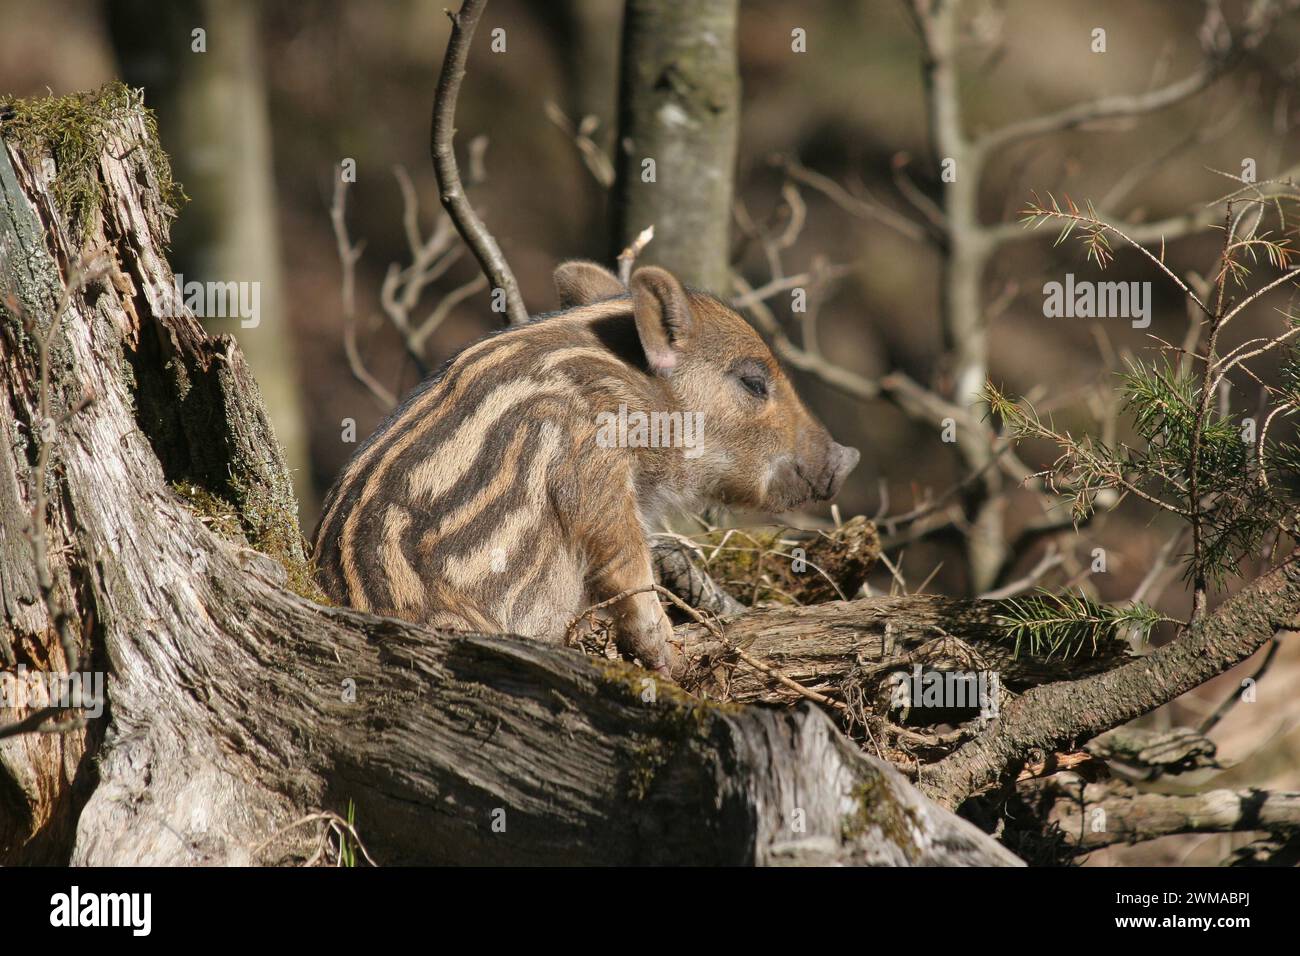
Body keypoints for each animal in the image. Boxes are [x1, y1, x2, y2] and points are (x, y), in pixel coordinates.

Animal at [312, 261, 859, 677]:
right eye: (753, 382)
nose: (845, 458)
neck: (634, 399)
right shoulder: (594, 473)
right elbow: (628, 572)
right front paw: (678, 667)